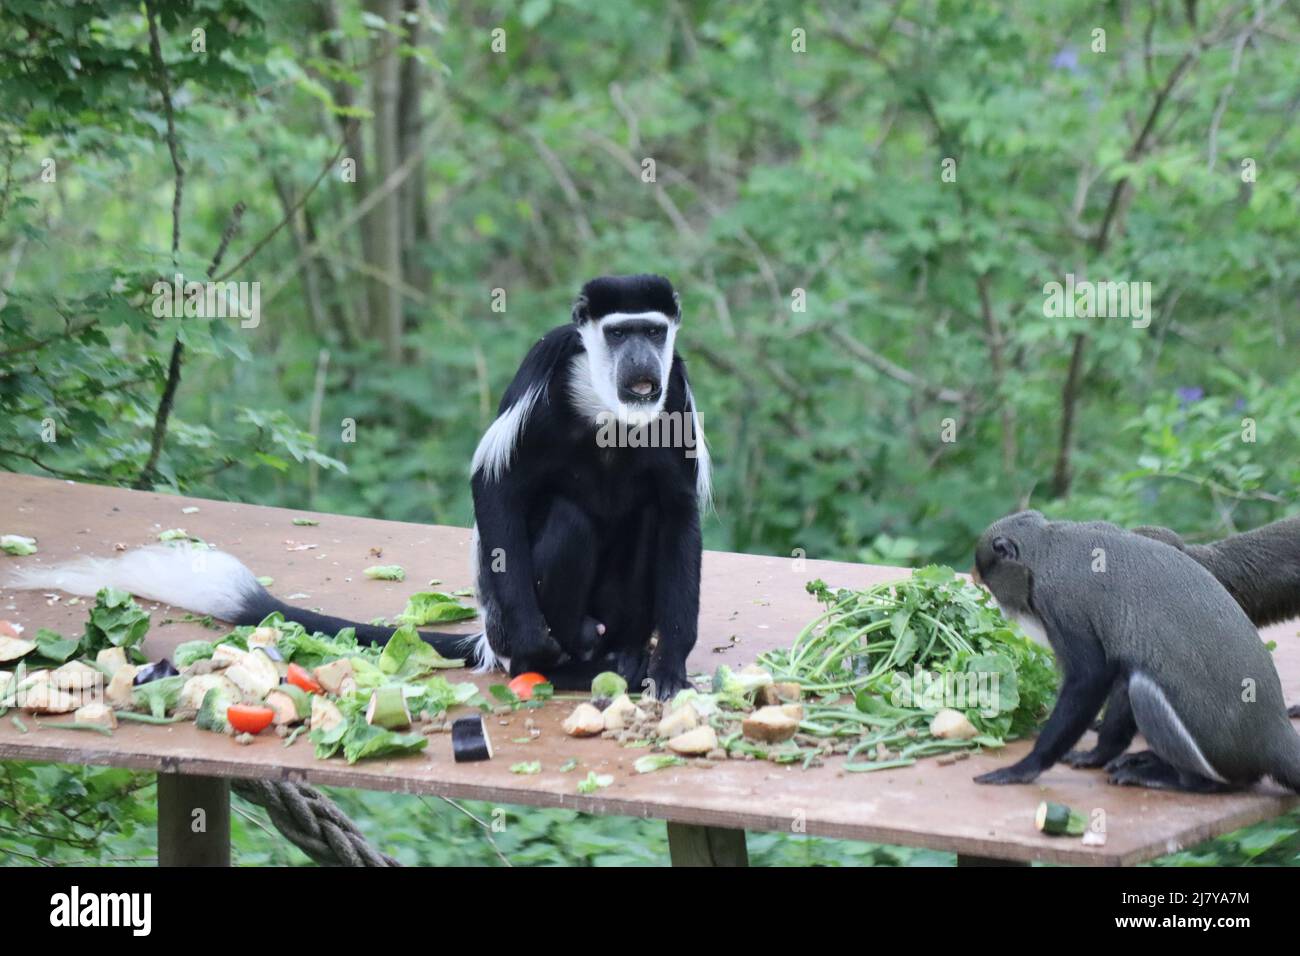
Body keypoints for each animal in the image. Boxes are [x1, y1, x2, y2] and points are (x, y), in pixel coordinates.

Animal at [9, 275, 710, 700]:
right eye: (618, 333)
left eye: (653, 332)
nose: (640, 363)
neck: (610, 410)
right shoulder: (549, 368)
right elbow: (499, 483)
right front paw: (537, 638)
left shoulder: (674, 392)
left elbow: (677, 511)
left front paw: (669, 669)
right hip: (511, 615)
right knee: (563, 521)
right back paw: (560, 661)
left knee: (650, 520)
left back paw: (624, 658)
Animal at [971, 510, 1300, 793]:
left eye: (992, 583)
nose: (1004, 610)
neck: (1048, 542)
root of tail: (1275, 736)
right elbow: (1118, 670)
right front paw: (1096, 755)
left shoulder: (1060, 603)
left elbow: (1090, 677)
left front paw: (1024, 768)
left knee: (1143, 687)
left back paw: (1181, 779)